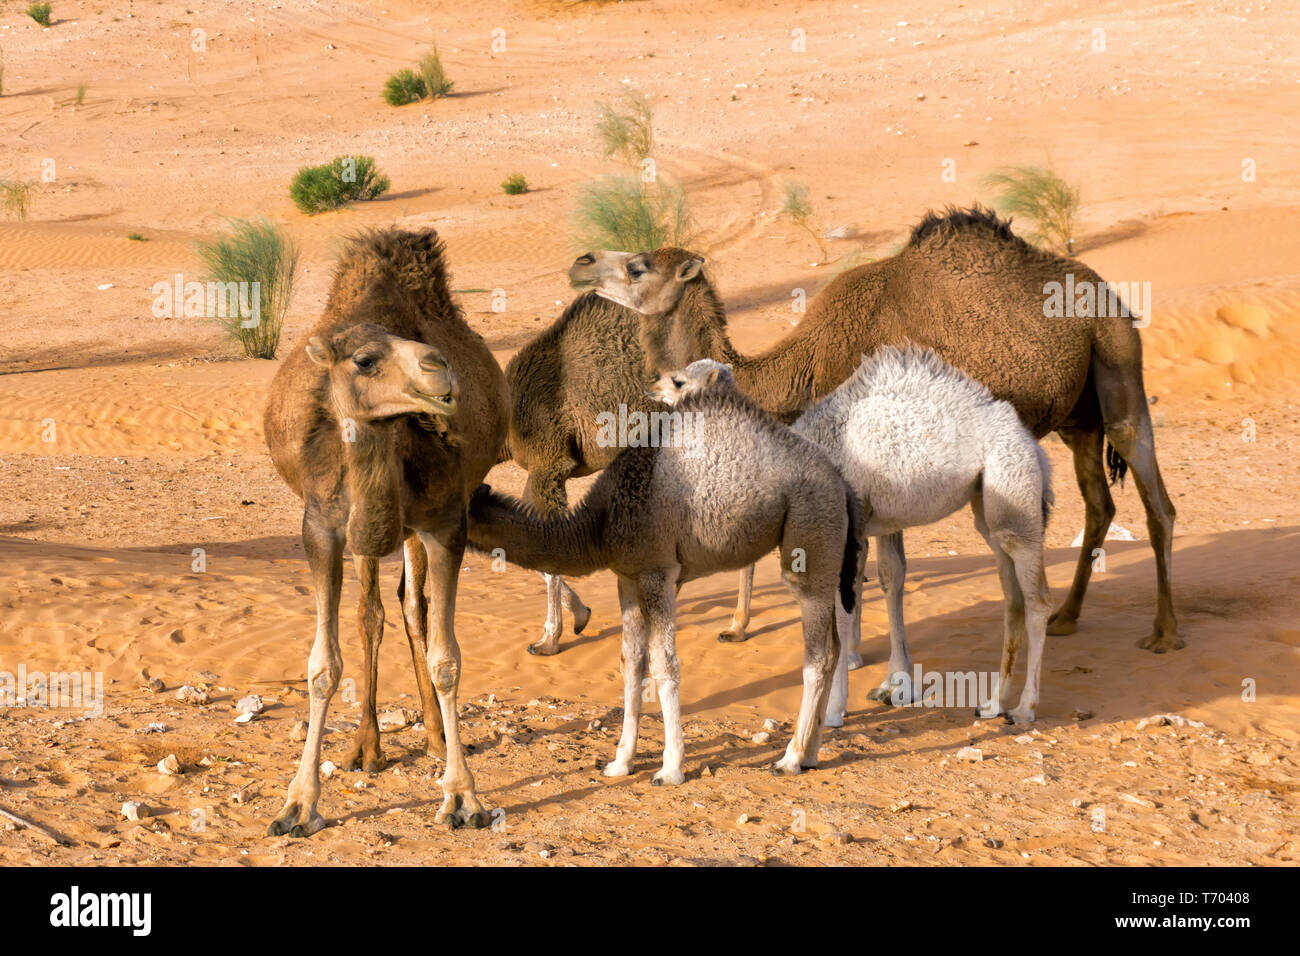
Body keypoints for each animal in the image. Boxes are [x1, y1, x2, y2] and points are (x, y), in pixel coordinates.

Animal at [262, 228, 508, 835]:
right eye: (366, 360)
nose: (441, 369)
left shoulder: (445, 522)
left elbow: (447, 659)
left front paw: (462, 796)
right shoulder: (321, 528)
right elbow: (323, 665)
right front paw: (298, 804)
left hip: (416, 529)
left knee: (412, 607)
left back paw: (435, 736)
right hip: (361, 539)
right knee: (370, 613)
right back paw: (366, 747)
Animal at [465, 365, 861, 784]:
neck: (601, 524)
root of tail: (842, 483)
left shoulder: (658, 576)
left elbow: (664, 664)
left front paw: (670, 768)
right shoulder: (627, 578)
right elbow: (631, 661)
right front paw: (620, 762)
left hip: (811, 531)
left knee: (817, 654)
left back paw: (790, 758)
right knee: (833, 648)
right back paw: (812, 753)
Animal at [578, 206, 1179, 654]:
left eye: (637, 266)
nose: (581, 261)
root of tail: (1109, 295)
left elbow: (879, 568)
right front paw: (746, 628)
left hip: (1119, 366)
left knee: (1157, 501)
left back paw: (1164, 633)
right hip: (1079, 419)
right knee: (1099, 503)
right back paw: (1067, 617)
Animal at [659, 354, 1053, 726]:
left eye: (679, 381)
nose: (653, 388)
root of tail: (1033, 445)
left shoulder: (849, 526)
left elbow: (843, 614)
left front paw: (835, 710)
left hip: (1015, 491)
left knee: (1037, 601)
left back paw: (1024, 709)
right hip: (988, 507)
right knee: (1012, 599)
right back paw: (992, 704)